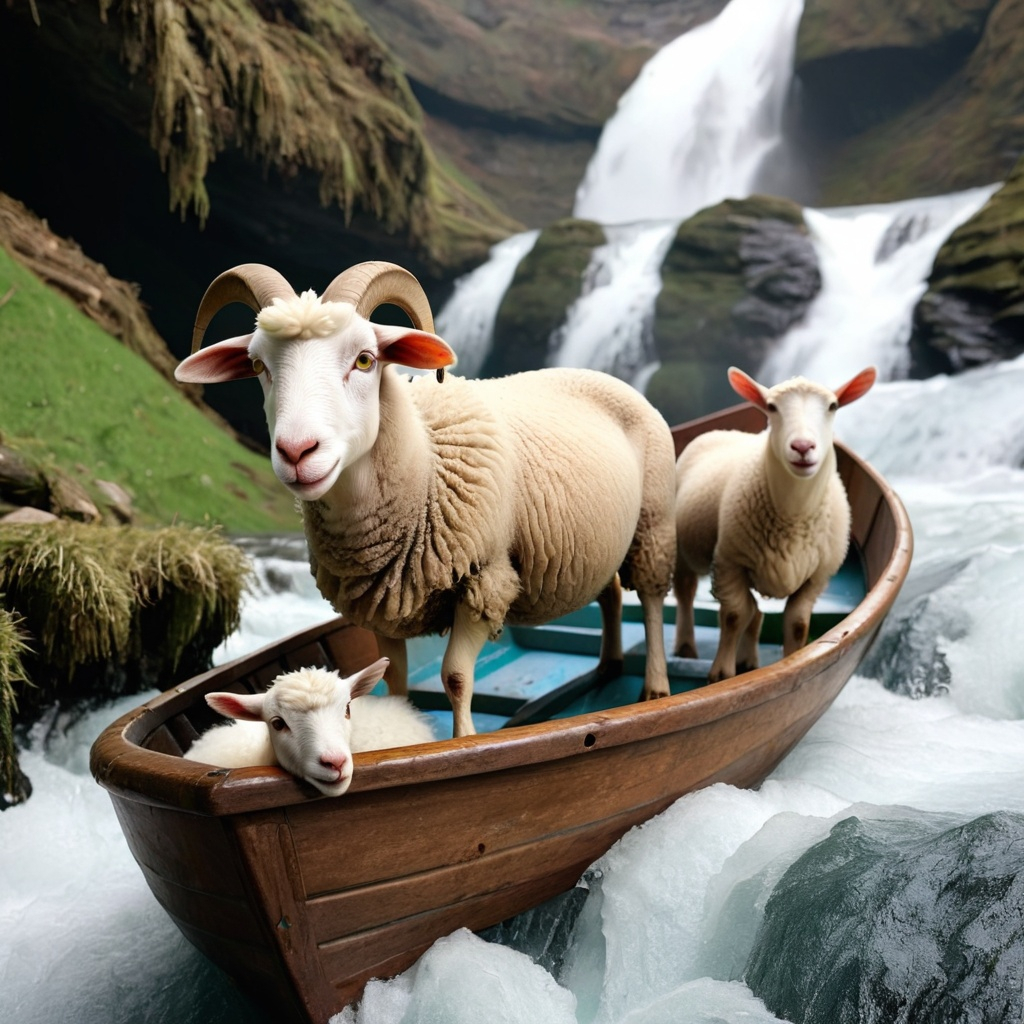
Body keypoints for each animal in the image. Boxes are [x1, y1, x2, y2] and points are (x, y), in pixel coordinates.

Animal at [174, 261, 677, 737]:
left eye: (365, 359)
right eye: (258, 366)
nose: (297, 452)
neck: (424, 460)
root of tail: (605, 375)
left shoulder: (486, 580)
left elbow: (454, 676)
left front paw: (463, 742)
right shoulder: (375, 605)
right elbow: (394, 682)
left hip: (652, 523)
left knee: (651, 601)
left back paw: (655, 685)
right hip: (595, 541)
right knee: (611, 593)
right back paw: (608, 664)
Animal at [673, 365, 876, 683]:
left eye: (833, 406)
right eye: (771, 407)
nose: (803, 446)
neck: (794, 518)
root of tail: (725, 430)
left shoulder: (817, 577)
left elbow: (797, 623)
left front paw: (793, 663)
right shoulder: (729, 562)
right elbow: (733, 616)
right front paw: (721, 674)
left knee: (755, 612)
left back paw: (748, 661)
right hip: (684, 548)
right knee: (686, 592)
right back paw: (685, 648)